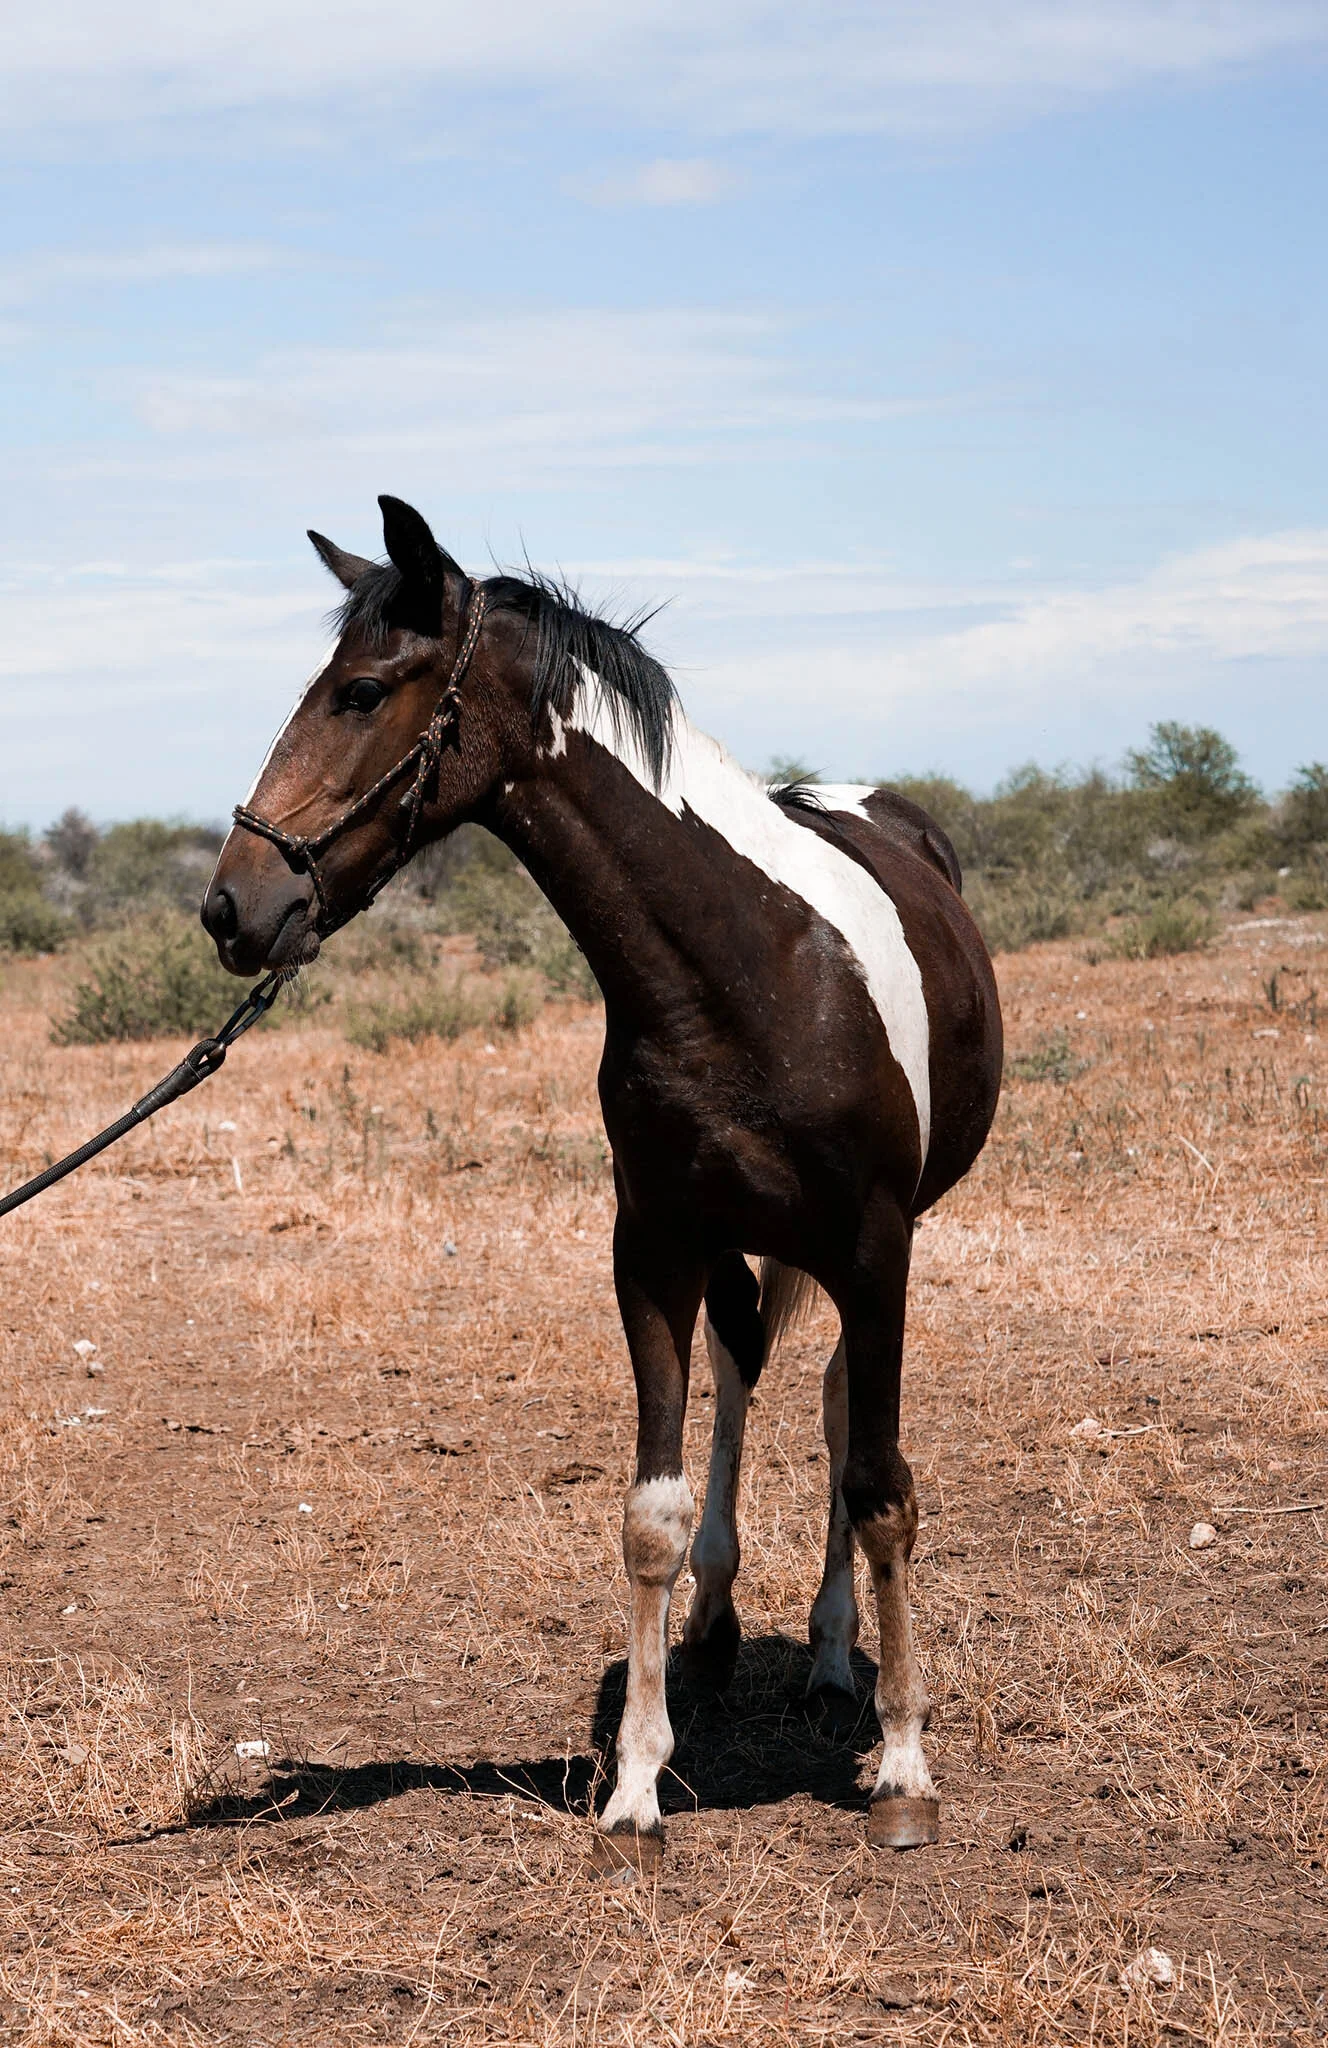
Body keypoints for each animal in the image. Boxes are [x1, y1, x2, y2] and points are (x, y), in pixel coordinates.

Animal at [202, 495, 1003, 1867]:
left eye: (360, 691)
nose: (232, 906)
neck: (750, 963)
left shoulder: (874, 1244)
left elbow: (881, 1486)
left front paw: (903, 1762)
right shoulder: (654, 1247)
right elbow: (651, 1512)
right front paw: (634, 1780)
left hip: (862, 1254)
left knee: (839, 1410)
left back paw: (833, 1657)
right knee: (746, 1372)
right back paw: (722, 1627)